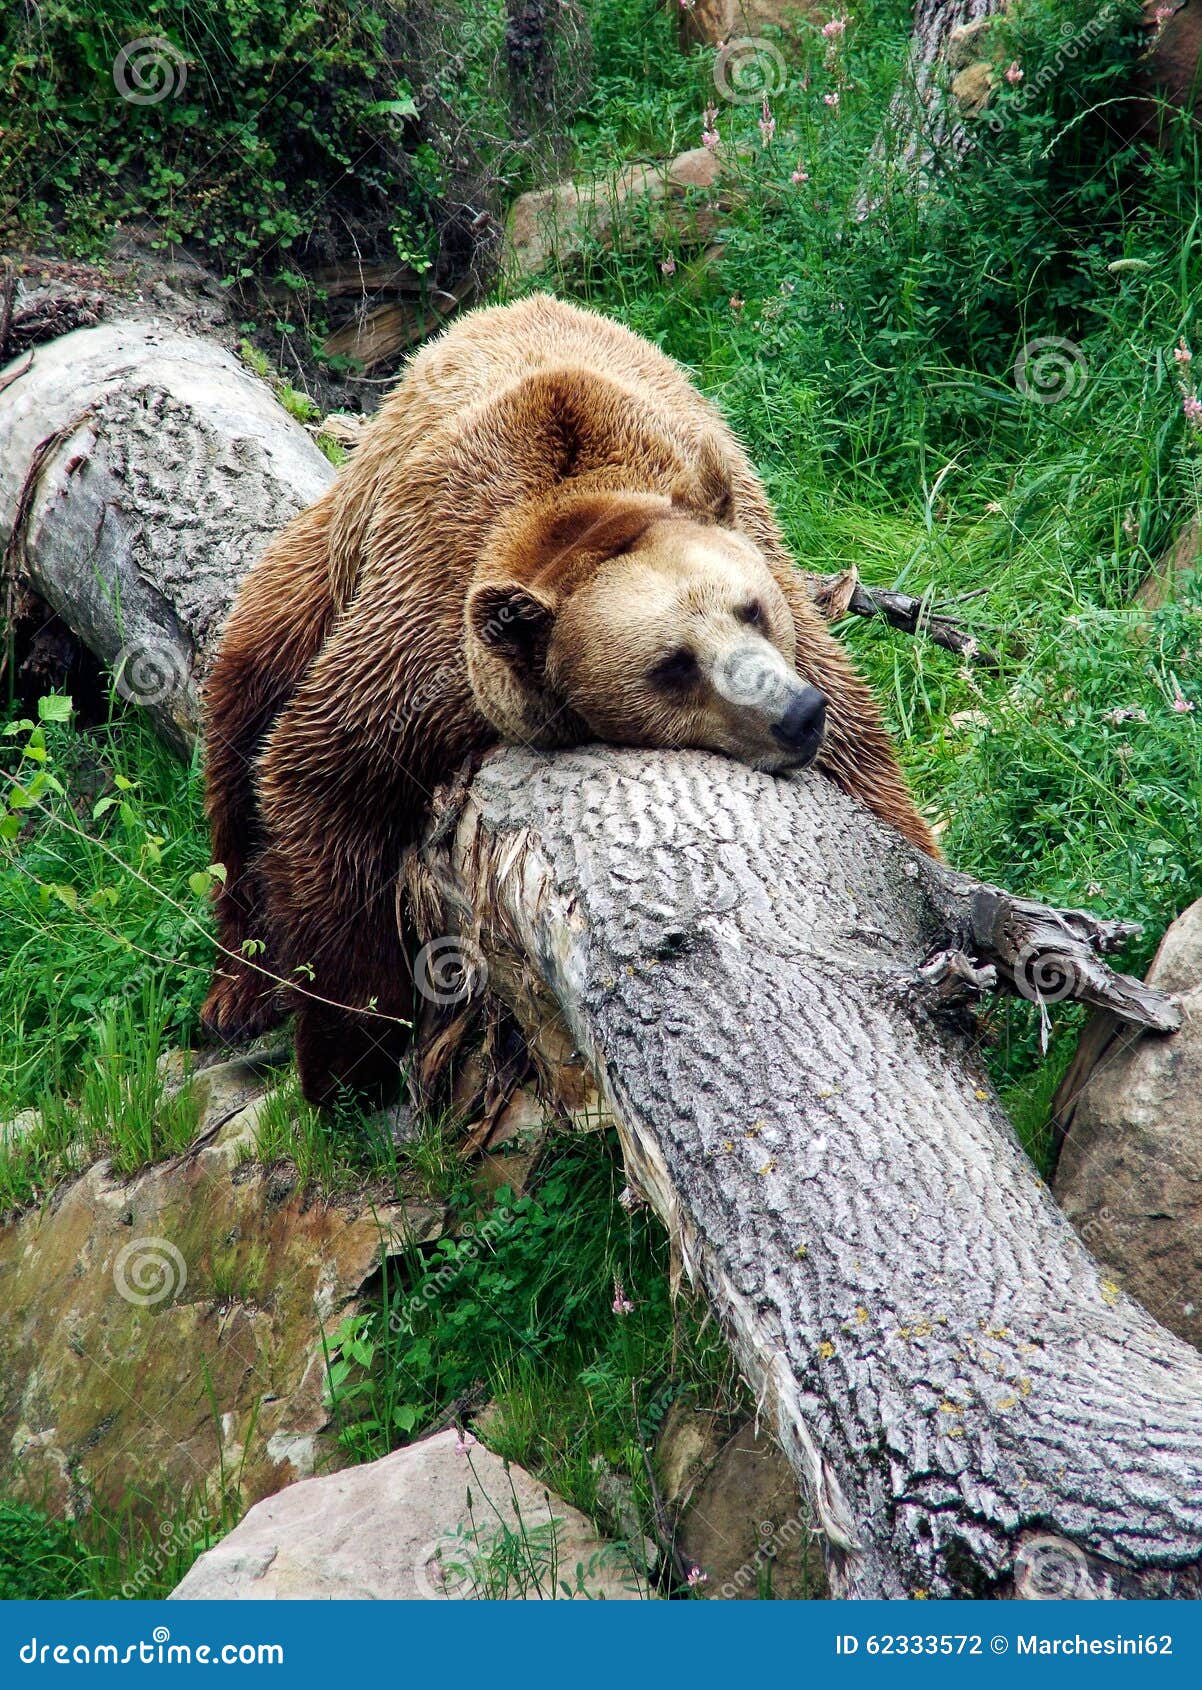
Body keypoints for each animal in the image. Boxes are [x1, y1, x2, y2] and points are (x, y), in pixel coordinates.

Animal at [201, 293, 936, 1105]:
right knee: (242, 714)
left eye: (751, 610)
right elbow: (323, 772)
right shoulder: (424, 623)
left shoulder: (771, 575)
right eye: (674, 666)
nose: (794, 715)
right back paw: (235, 989)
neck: (578, 508)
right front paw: (346, 1056)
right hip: (327, 559)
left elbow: (864, 757)